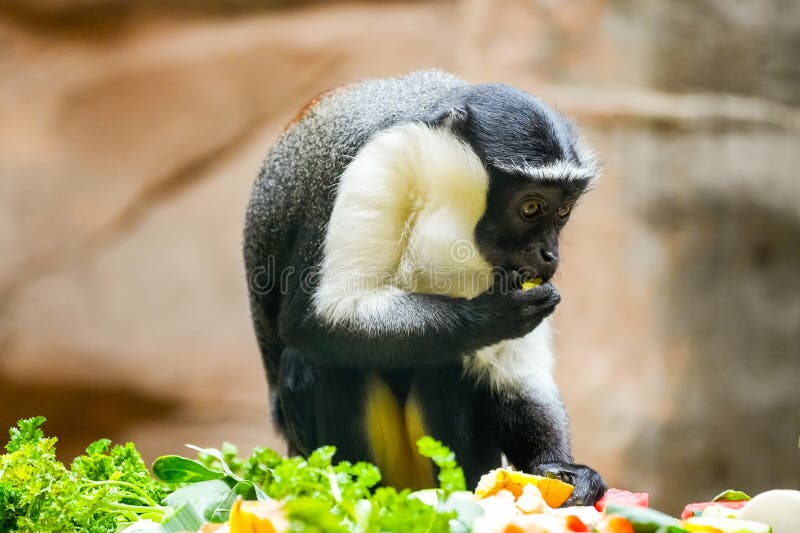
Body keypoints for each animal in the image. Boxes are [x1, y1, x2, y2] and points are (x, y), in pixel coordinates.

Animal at [243, 70, 606, 505]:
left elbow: (516, 377)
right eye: (531, 207)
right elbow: (317, 317)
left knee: (447, 367)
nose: (549, 254)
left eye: (563, 212)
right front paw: (492, 316)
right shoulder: (378, 161)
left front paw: (565, 472)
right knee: (327, 358)